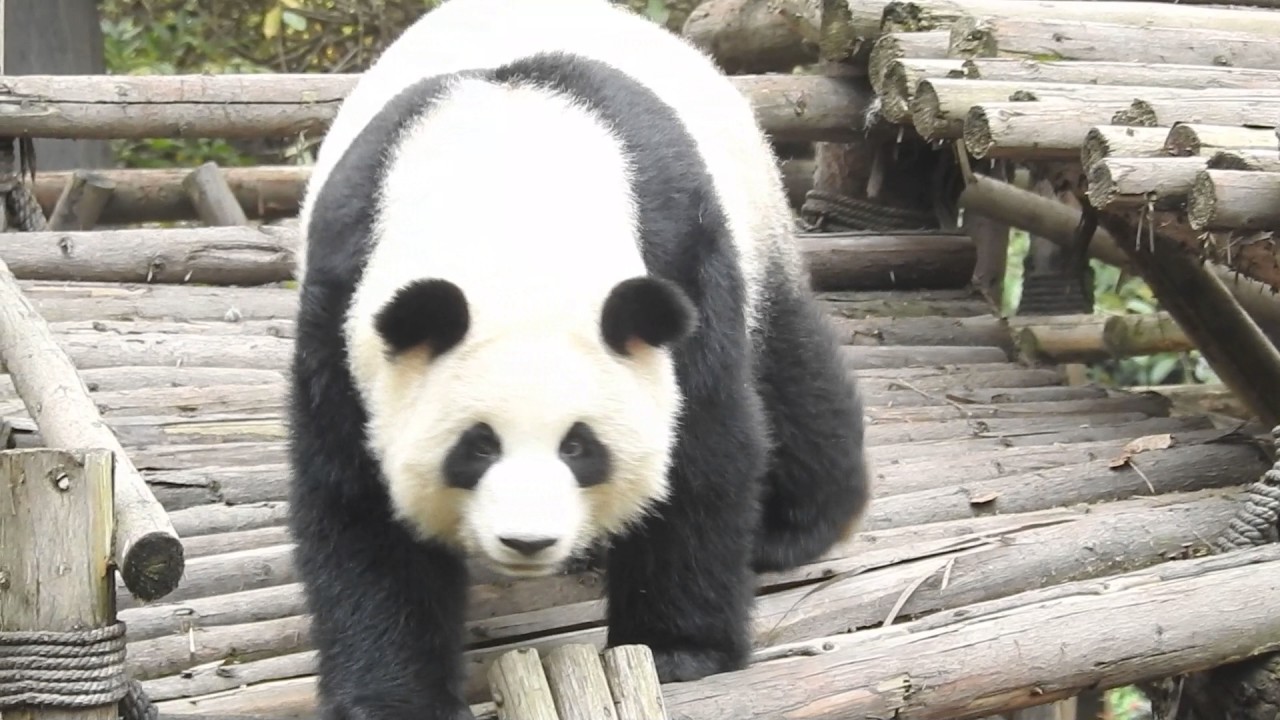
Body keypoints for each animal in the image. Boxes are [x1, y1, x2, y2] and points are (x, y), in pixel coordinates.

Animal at [287, 0, 871, 718]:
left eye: (579, 446)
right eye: (476, 446)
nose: (527, 542)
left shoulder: (680, 251)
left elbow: (704, 444)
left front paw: (678, 647)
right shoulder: (341, 297)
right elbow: (355, 494)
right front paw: (393, 697)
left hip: (753, 210)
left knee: (790, 365)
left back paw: (796, 525)